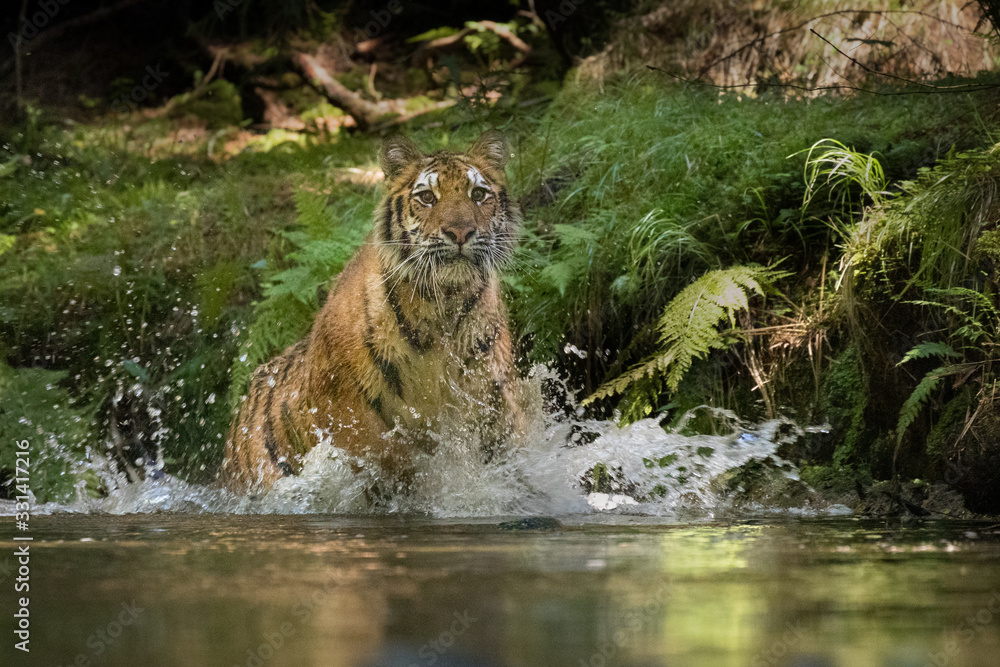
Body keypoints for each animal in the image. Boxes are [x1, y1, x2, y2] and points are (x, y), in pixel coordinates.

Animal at [222, 130, 525, 492]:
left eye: (478, 194)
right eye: (426, 197)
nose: (461, 232)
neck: (441, 307)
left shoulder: (494, 403)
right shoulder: (354, 427)